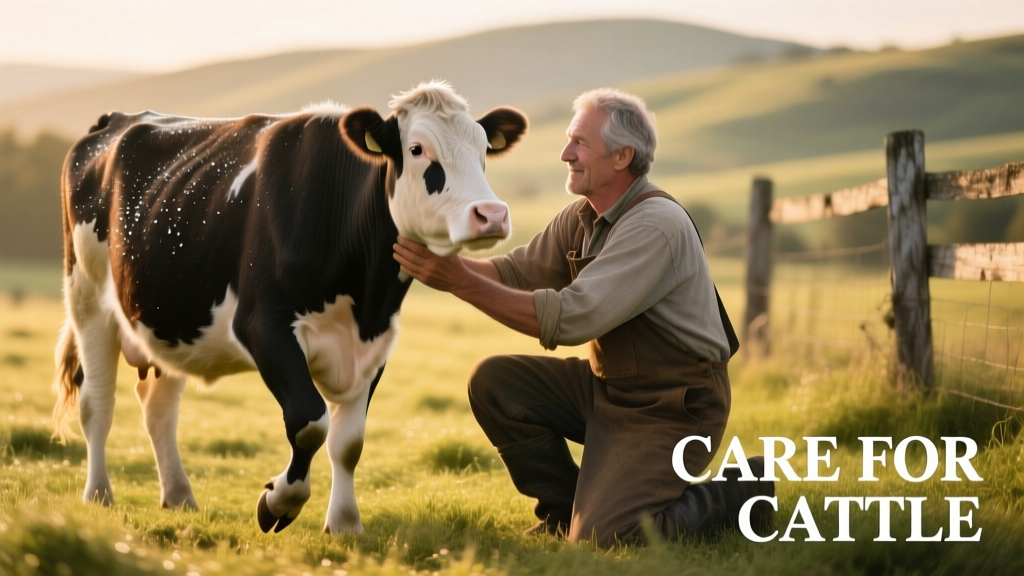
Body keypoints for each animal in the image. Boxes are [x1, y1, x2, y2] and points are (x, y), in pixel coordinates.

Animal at [51, 80, 527, 534]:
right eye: (416, 149)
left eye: (484, 149)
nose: (491, 214)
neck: (365, 296)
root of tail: (116, 119)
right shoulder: (264, 326)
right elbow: (309, 420)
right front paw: (278, 502)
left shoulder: (376, 343)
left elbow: (349, 442)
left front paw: (344, 523)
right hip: (88, 299)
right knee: (97, 403)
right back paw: (99, 495)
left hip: (168, 319)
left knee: (159, 406)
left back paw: (179, 496)